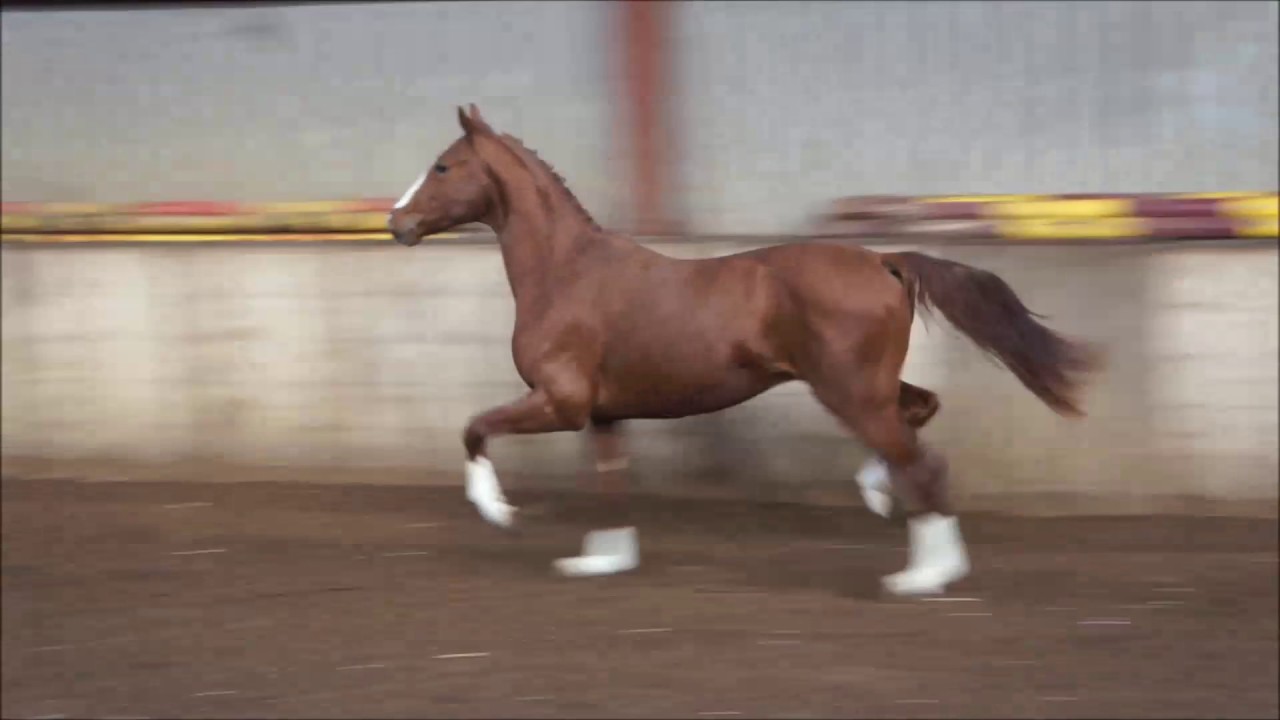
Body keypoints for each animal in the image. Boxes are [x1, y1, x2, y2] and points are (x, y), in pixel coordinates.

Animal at [387, 104, 1098, 596]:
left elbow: (474, 429)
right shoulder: (603, 412)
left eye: (443, 165)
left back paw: (922, 576)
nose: (397, 224)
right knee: (918, 417)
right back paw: (879, 496)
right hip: (865, 386)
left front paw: (499, 512)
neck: (566, 272)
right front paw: (601, 559)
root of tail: (884, 260)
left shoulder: (560, 403)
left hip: (846, 389)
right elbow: (612, 482)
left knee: (922, 463)